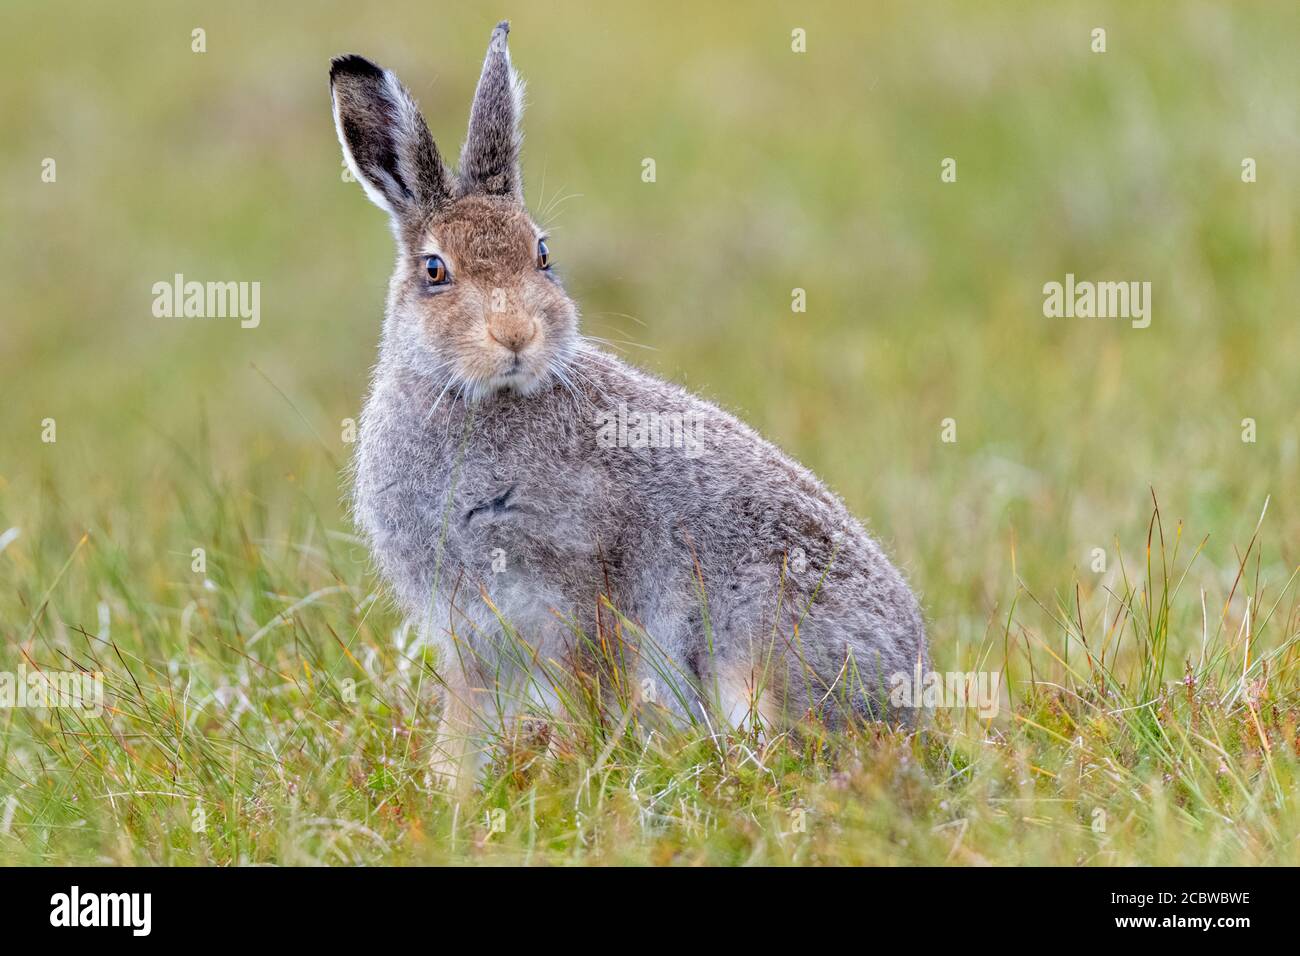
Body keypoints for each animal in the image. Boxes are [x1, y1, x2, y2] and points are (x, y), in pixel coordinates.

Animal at [331, 21, 927, 792]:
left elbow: (587, 690)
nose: (516, 334)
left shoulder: (580, 594)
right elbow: (465, 721)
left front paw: (574, 769)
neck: (484, 400)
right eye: (436, 271)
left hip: (754, 642)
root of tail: (909, 698)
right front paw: (449, 790)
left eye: (542, 255)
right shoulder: (470, 629)